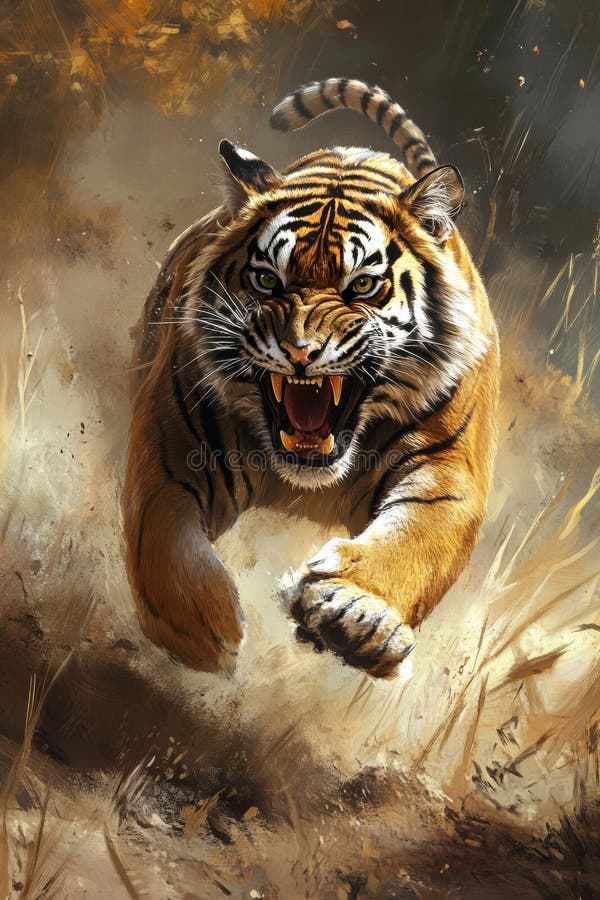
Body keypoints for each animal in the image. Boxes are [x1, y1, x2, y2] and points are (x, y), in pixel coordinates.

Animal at [123, 77, 499, 679]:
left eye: (363, 285)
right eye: (265, 280)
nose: (299, 351)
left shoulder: (446, 471)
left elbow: (416, 542)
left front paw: (354, 615)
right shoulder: (170, 453)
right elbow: (164, 543)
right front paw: (209, 631)